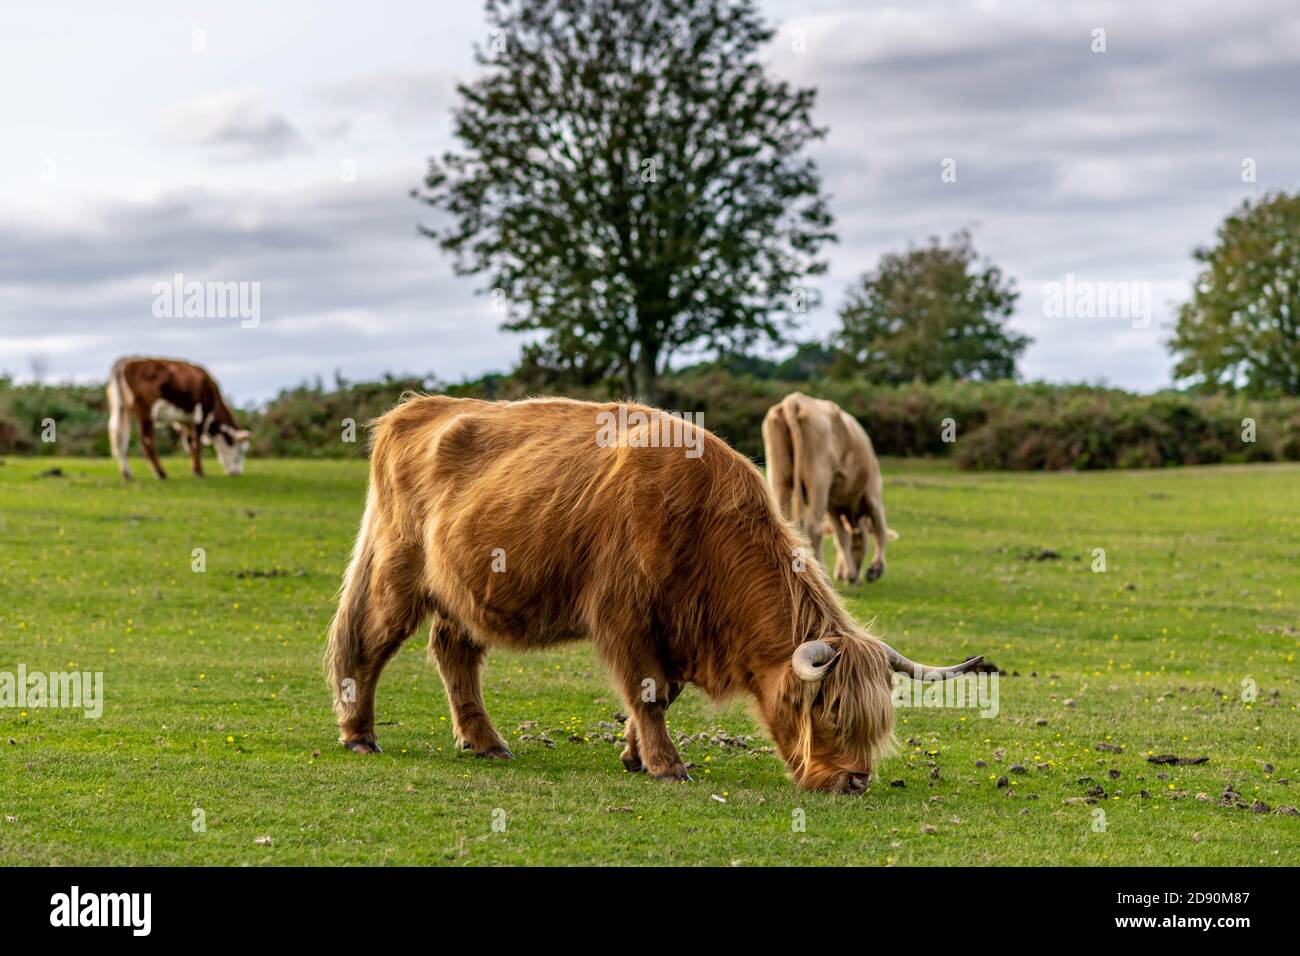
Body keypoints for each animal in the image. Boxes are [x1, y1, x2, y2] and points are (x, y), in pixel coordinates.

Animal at [107, 357, 251, 480]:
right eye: (241, 452)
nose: (237, 473)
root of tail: (123, 361)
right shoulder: (200, 415)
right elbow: (197, 444)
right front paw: (199, 471)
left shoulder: (183, 421)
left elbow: (189, 443)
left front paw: (194, 468)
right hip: (145, 412)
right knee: (147, 441)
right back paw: (161, 473)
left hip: (120, 409)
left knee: (120, 440)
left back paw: (127, 474)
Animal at [762, 392, 896, 585]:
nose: (842, 576)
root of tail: (795, 400)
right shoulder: (873, 494)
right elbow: (881, 530)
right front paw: (875, 569)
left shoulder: (832, 505)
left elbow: (842, 537)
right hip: (819, 477)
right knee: (814, 527)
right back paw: (823, 577)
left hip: (779, 474)